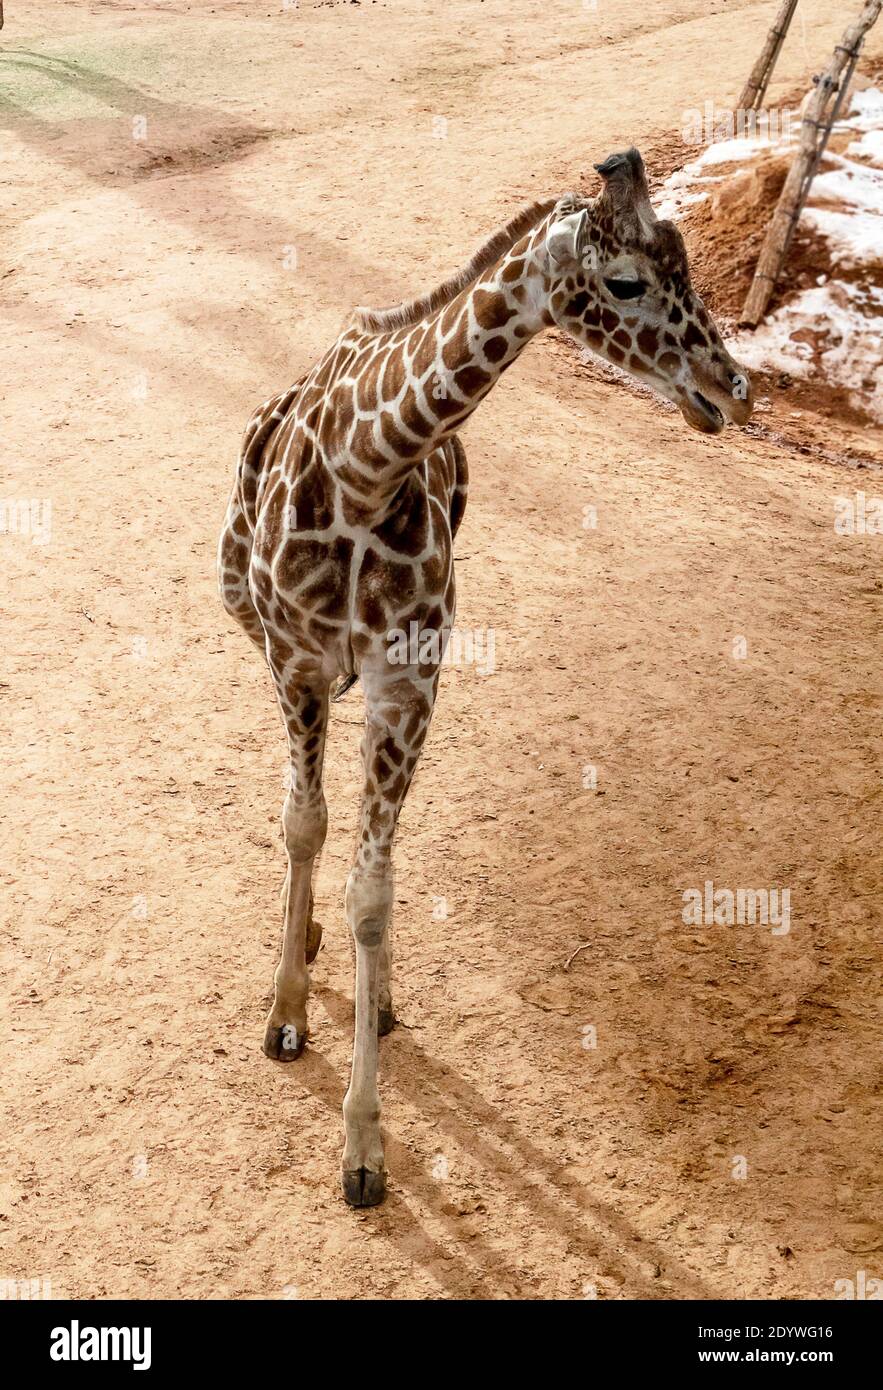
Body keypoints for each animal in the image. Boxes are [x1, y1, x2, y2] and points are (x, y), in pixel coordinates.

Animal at [218, 148, 753, 1207]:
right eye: (625, 282)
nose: (733, 389)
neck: (367, 466)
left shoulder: (407, 683)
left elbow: (373, 891)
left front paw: (364, 1147)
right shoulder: (295, 659)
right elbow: (303, 826)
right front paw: (286, 1012)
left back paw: (371, 994)